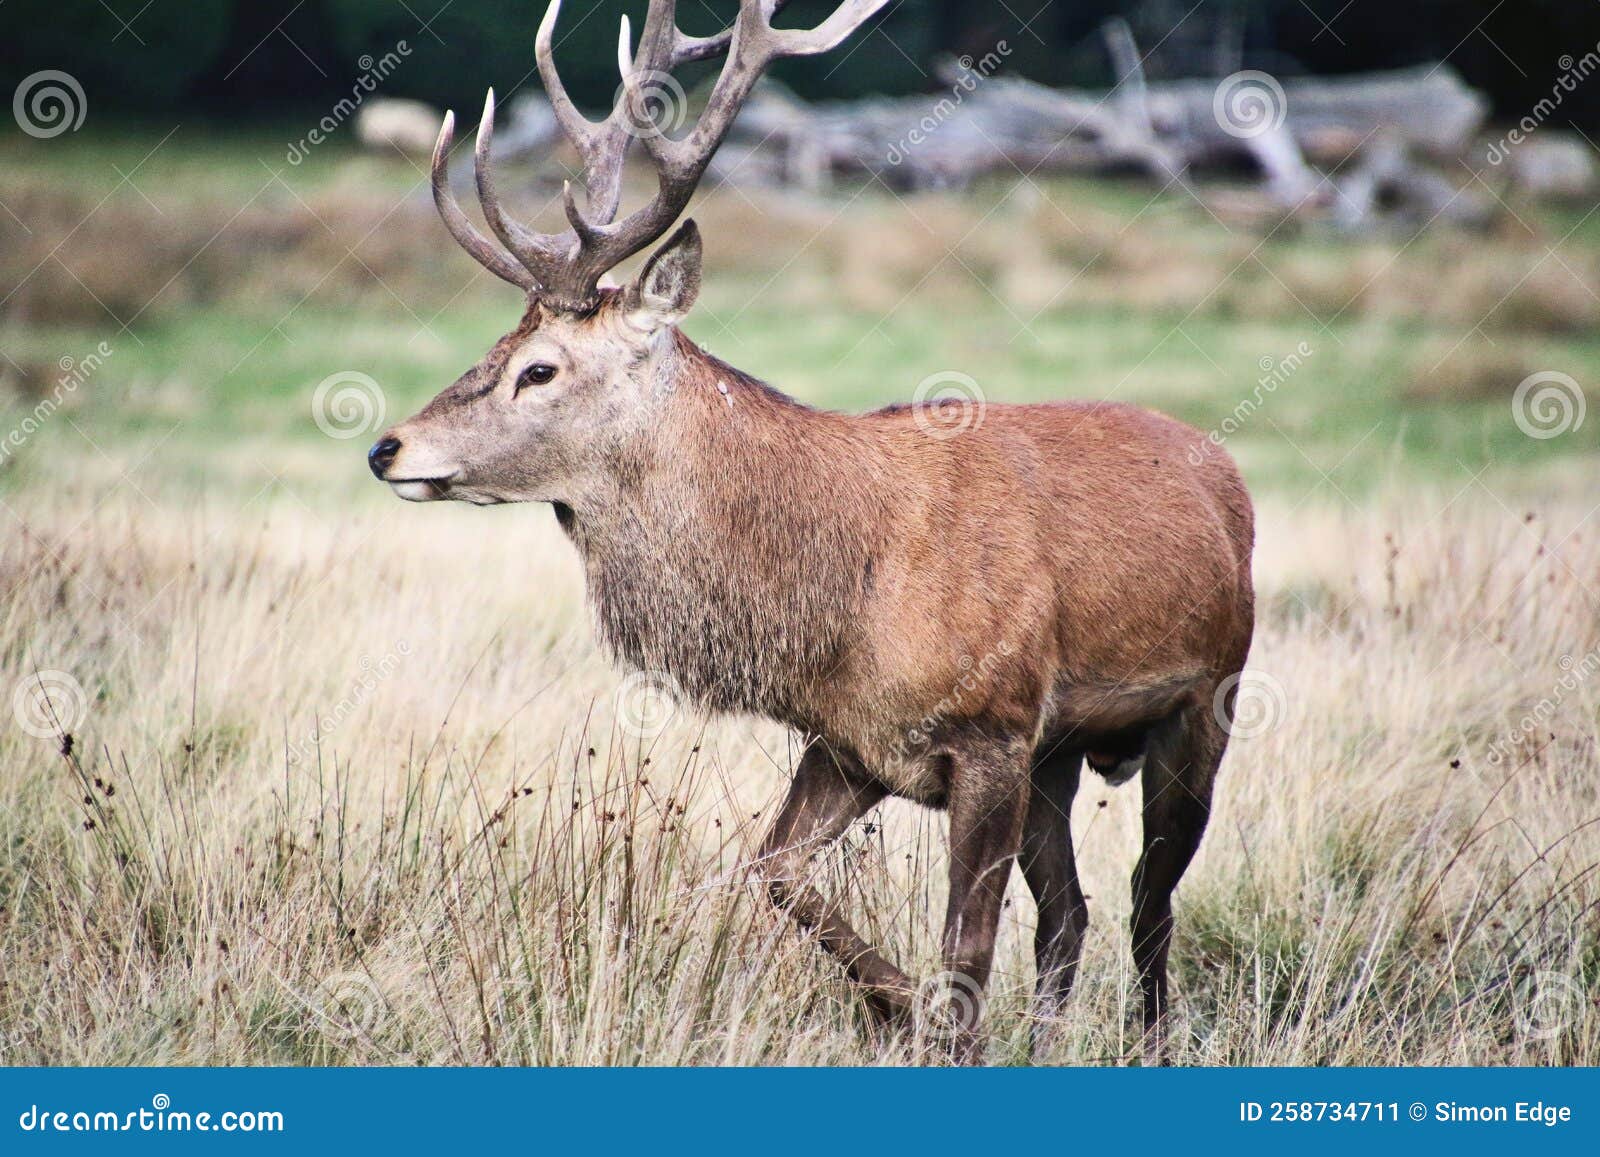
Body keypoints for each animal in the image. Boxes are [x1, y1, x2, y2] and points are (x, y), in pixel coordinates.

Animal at [367, 0, 1255, 1064]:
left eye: (538, 368)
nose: (387, 446)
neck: (839, 597)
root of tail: (1223, 474)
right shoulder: (851, 739)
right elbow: (774, 871)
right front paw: (896, 1003)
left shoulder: (991, 728)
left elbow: (966, 955)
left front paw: (933, 1019)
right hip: (1060, 751)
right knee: (1070, 912)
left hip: (1204, 698)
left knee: (1147, 904)